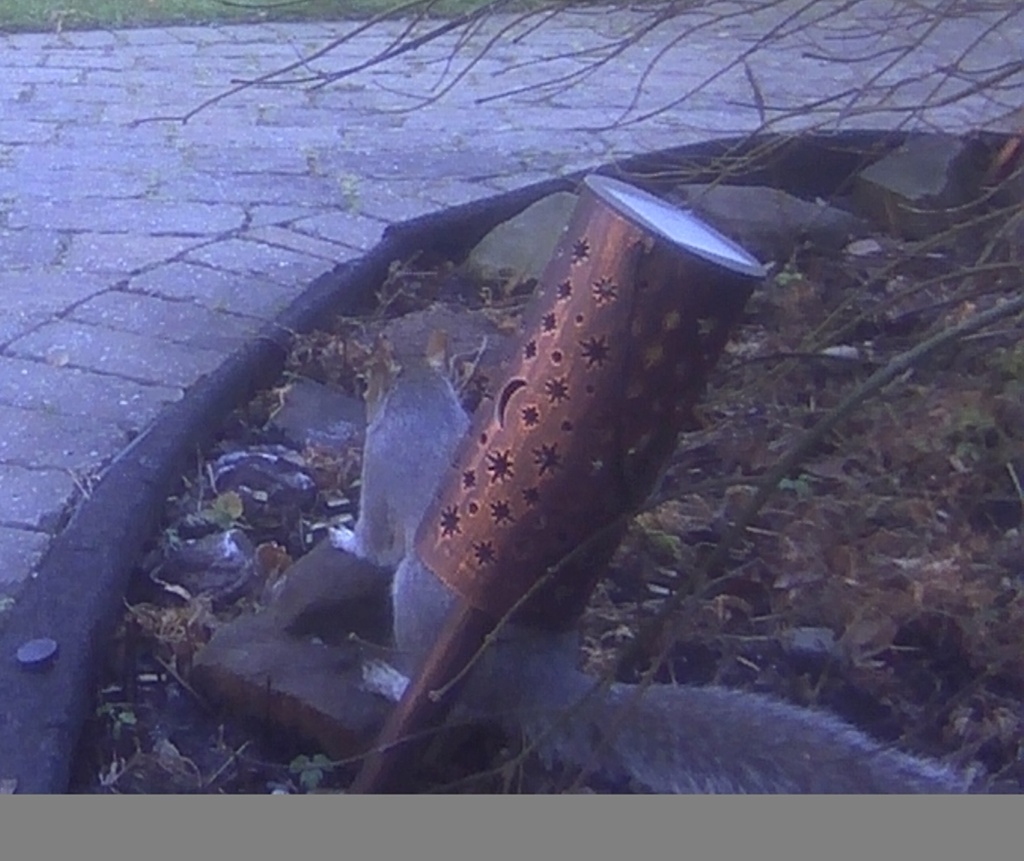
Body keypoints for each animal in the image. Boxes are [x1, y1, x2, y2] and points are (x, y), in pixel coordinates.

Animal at [332, 336, 974, 794]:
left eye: (366, 383)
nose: (361, 392)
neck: (420, 401)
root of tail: (539, 683)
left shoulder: (381, 474)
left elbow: (374, 541)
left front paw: (341, 536)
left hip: (419, 610)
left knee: (457, 708)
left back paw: (392, 680)